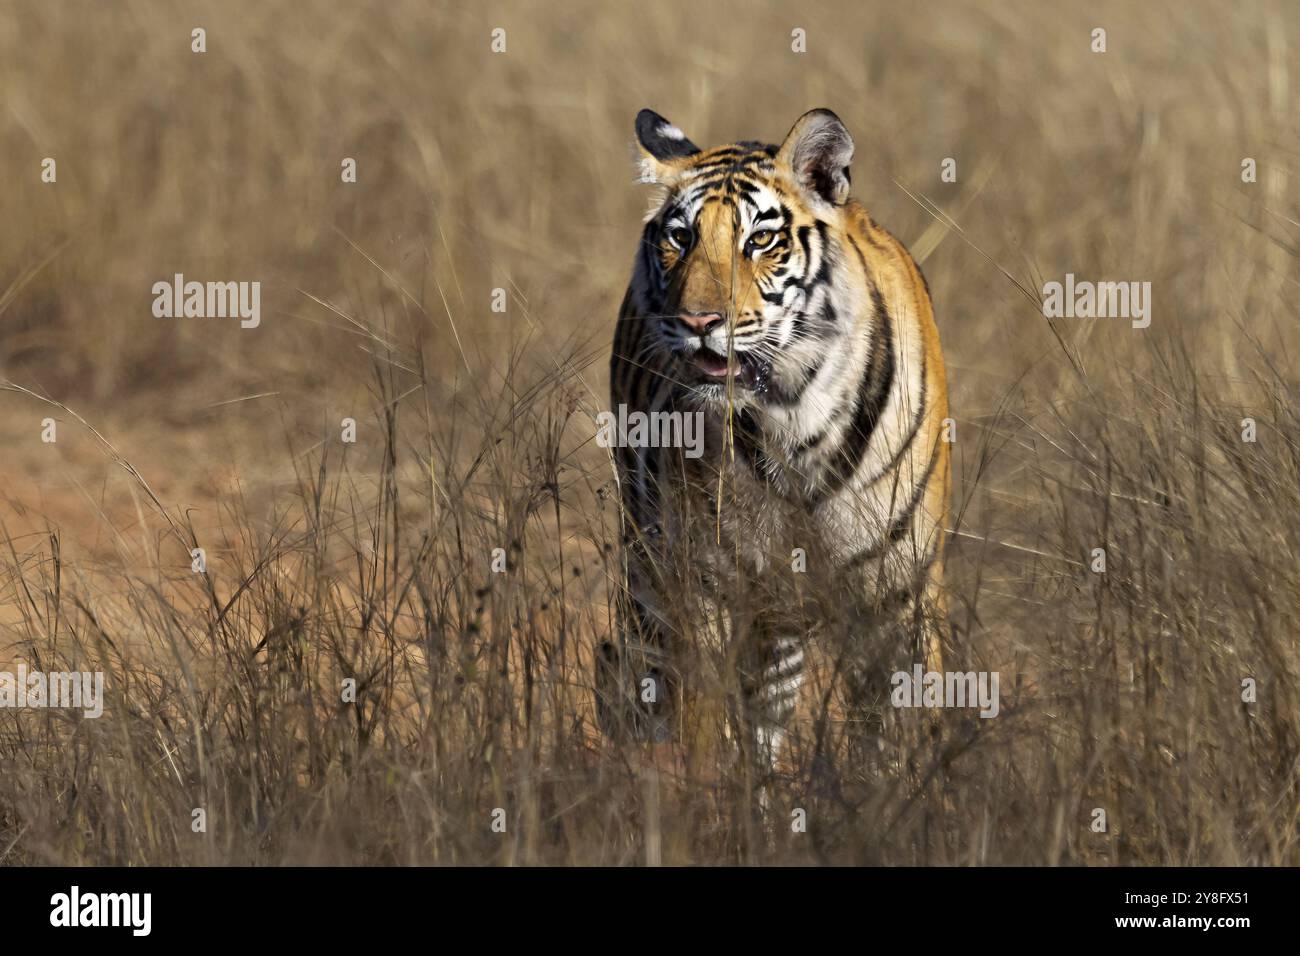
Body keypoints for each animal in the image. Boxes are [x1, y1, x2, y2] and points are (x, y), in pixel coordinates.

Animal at [597, 108, 950, 770]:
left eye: (760, 240)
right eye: (679, 238)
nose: (697, 322)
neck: (793, 417)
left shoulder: (897, 596)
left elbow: (896, 737)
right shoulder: (703, 586)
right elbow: (702, 732)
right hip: (655, 567)